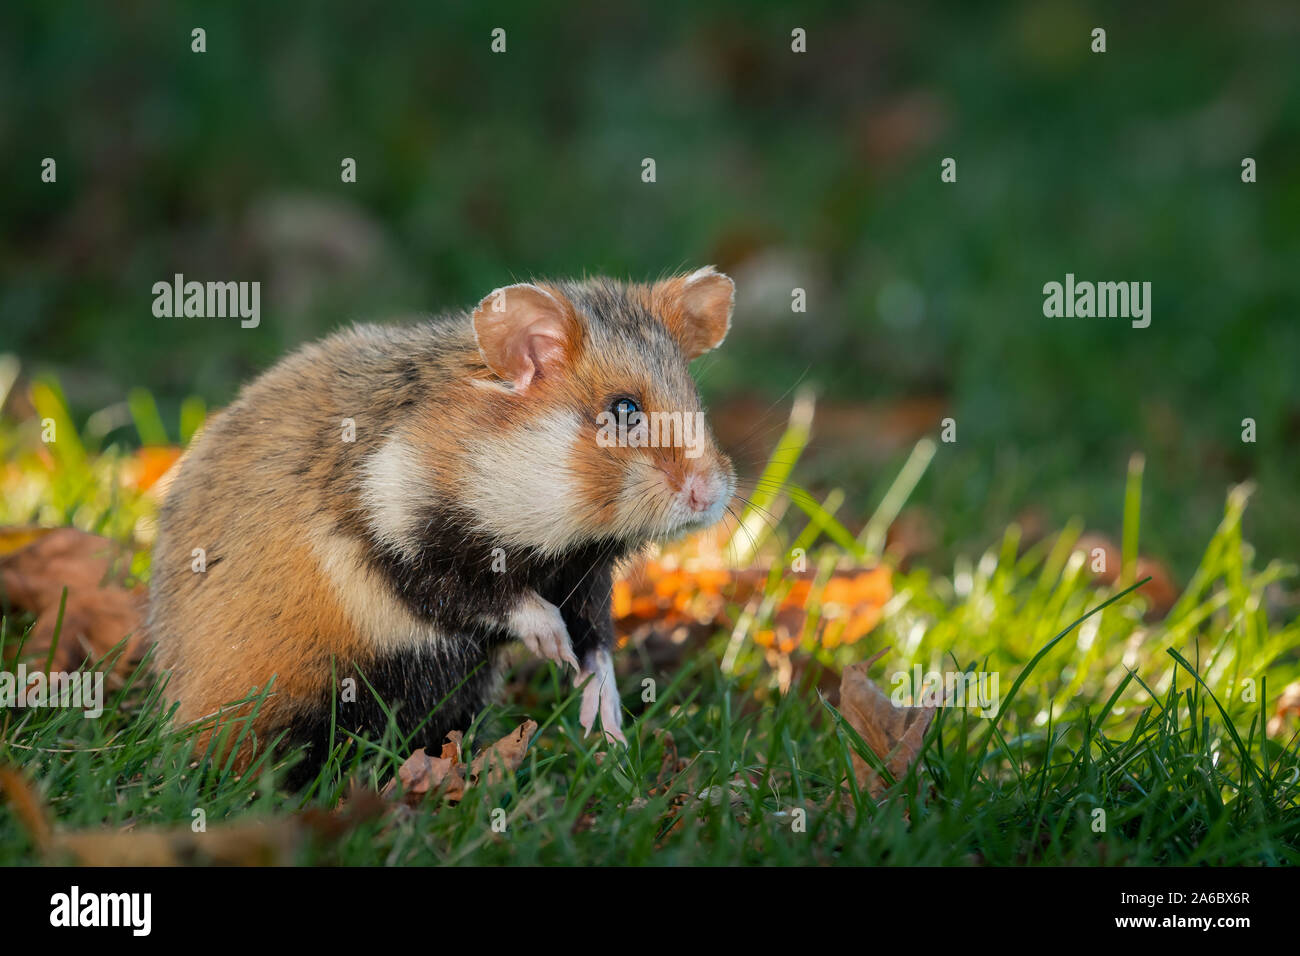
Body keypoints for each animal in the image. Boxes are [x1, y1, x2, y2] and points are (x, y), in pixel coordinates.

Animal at [148, 267, 737, 783]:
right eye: (624, 409)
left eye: (696, 403)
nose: (711, 495)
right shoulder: (397, 539)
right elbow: (489, 598)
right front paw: (554, 647)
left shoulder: (583, 572)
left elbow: (597, 644)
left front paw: (606, 725)